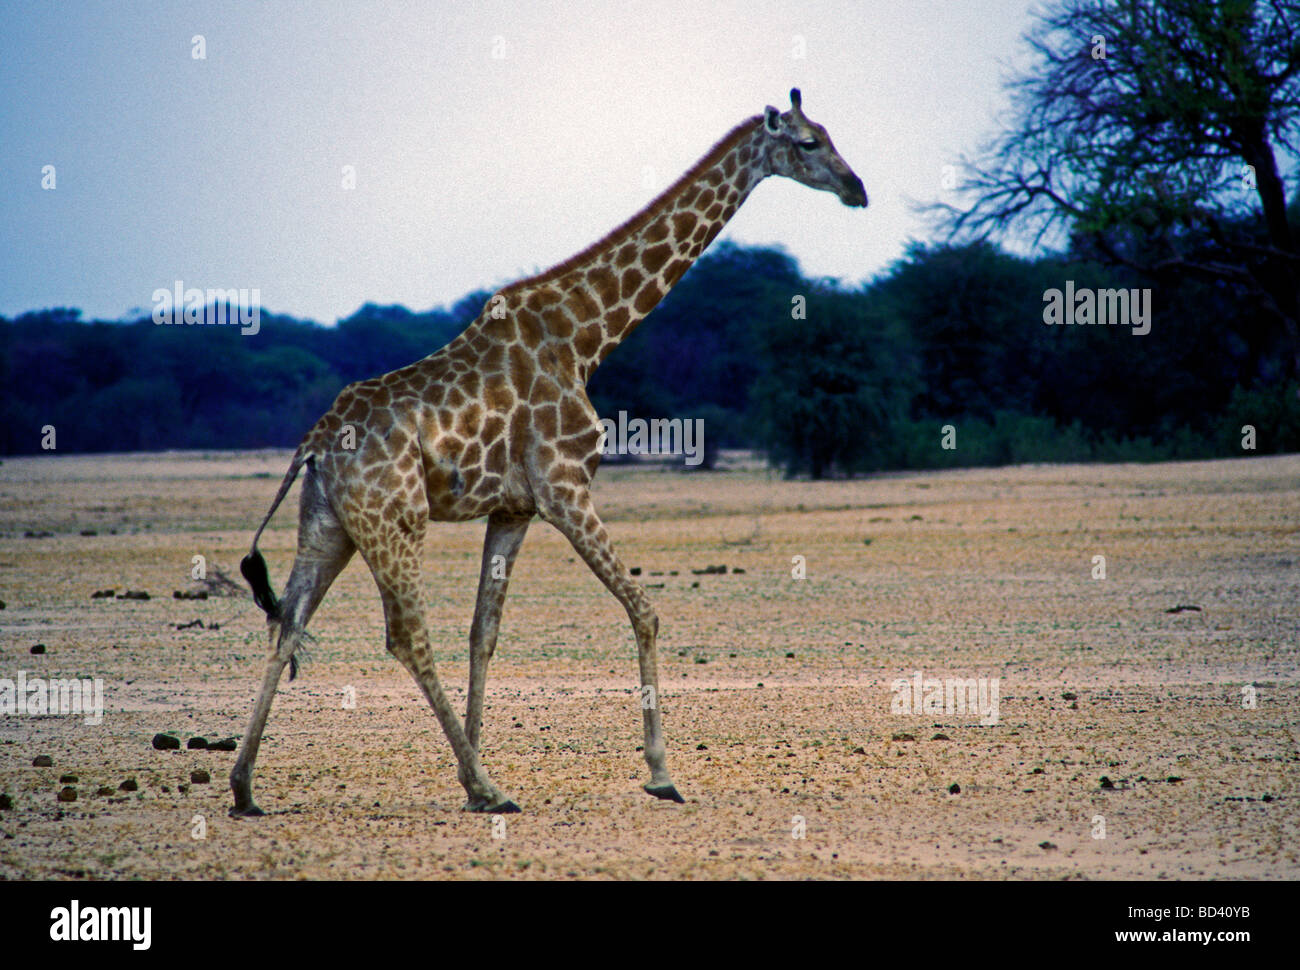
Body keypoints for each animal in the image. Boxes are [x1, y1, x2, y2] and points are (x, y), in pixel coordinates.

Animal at [230, 88, 866, 816]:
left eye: (829, 135)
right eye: (810, 143)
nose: (858, 190)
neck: (586, 338)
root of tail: (312, 446)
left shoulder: (514, 508)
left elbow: (484, 633)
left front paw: (470, 773)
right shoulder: (565, 487)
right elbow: (644, 611)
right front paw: (659, 773)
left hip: (329, 526)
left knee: (288, 623)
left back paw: (246, 787)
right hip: (396, 520)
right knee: (404, 635)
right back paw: (492, 787)